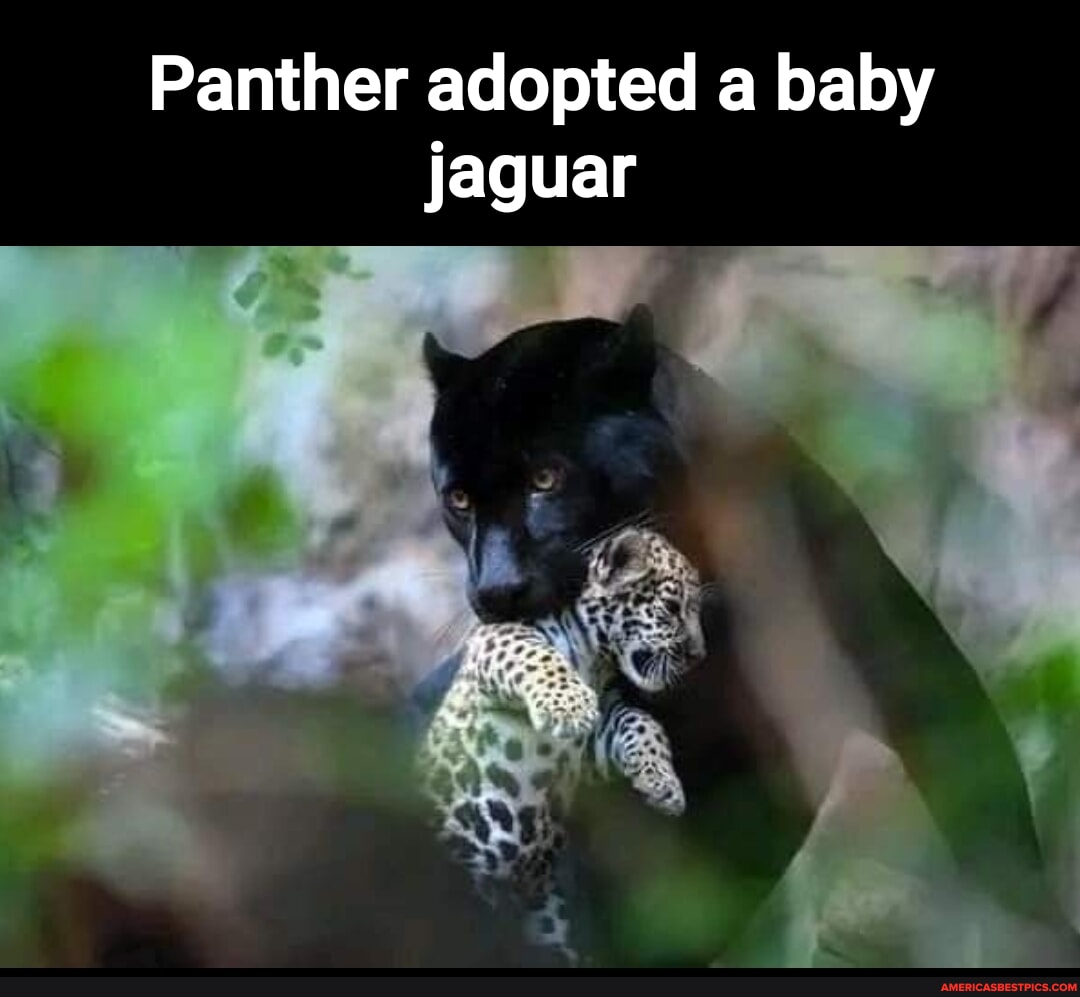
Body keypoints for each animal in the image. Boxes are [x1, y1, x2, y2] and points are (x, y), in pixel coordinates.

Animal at [416, 525, 705, 963]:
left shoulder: (595, 739)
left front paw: (663, 785)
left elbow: (641, 723)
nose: (698, 654)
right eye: (672, 607)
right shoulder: (496, 638)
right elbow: (535, 655)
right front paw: (568, 705)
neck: (594, 657)